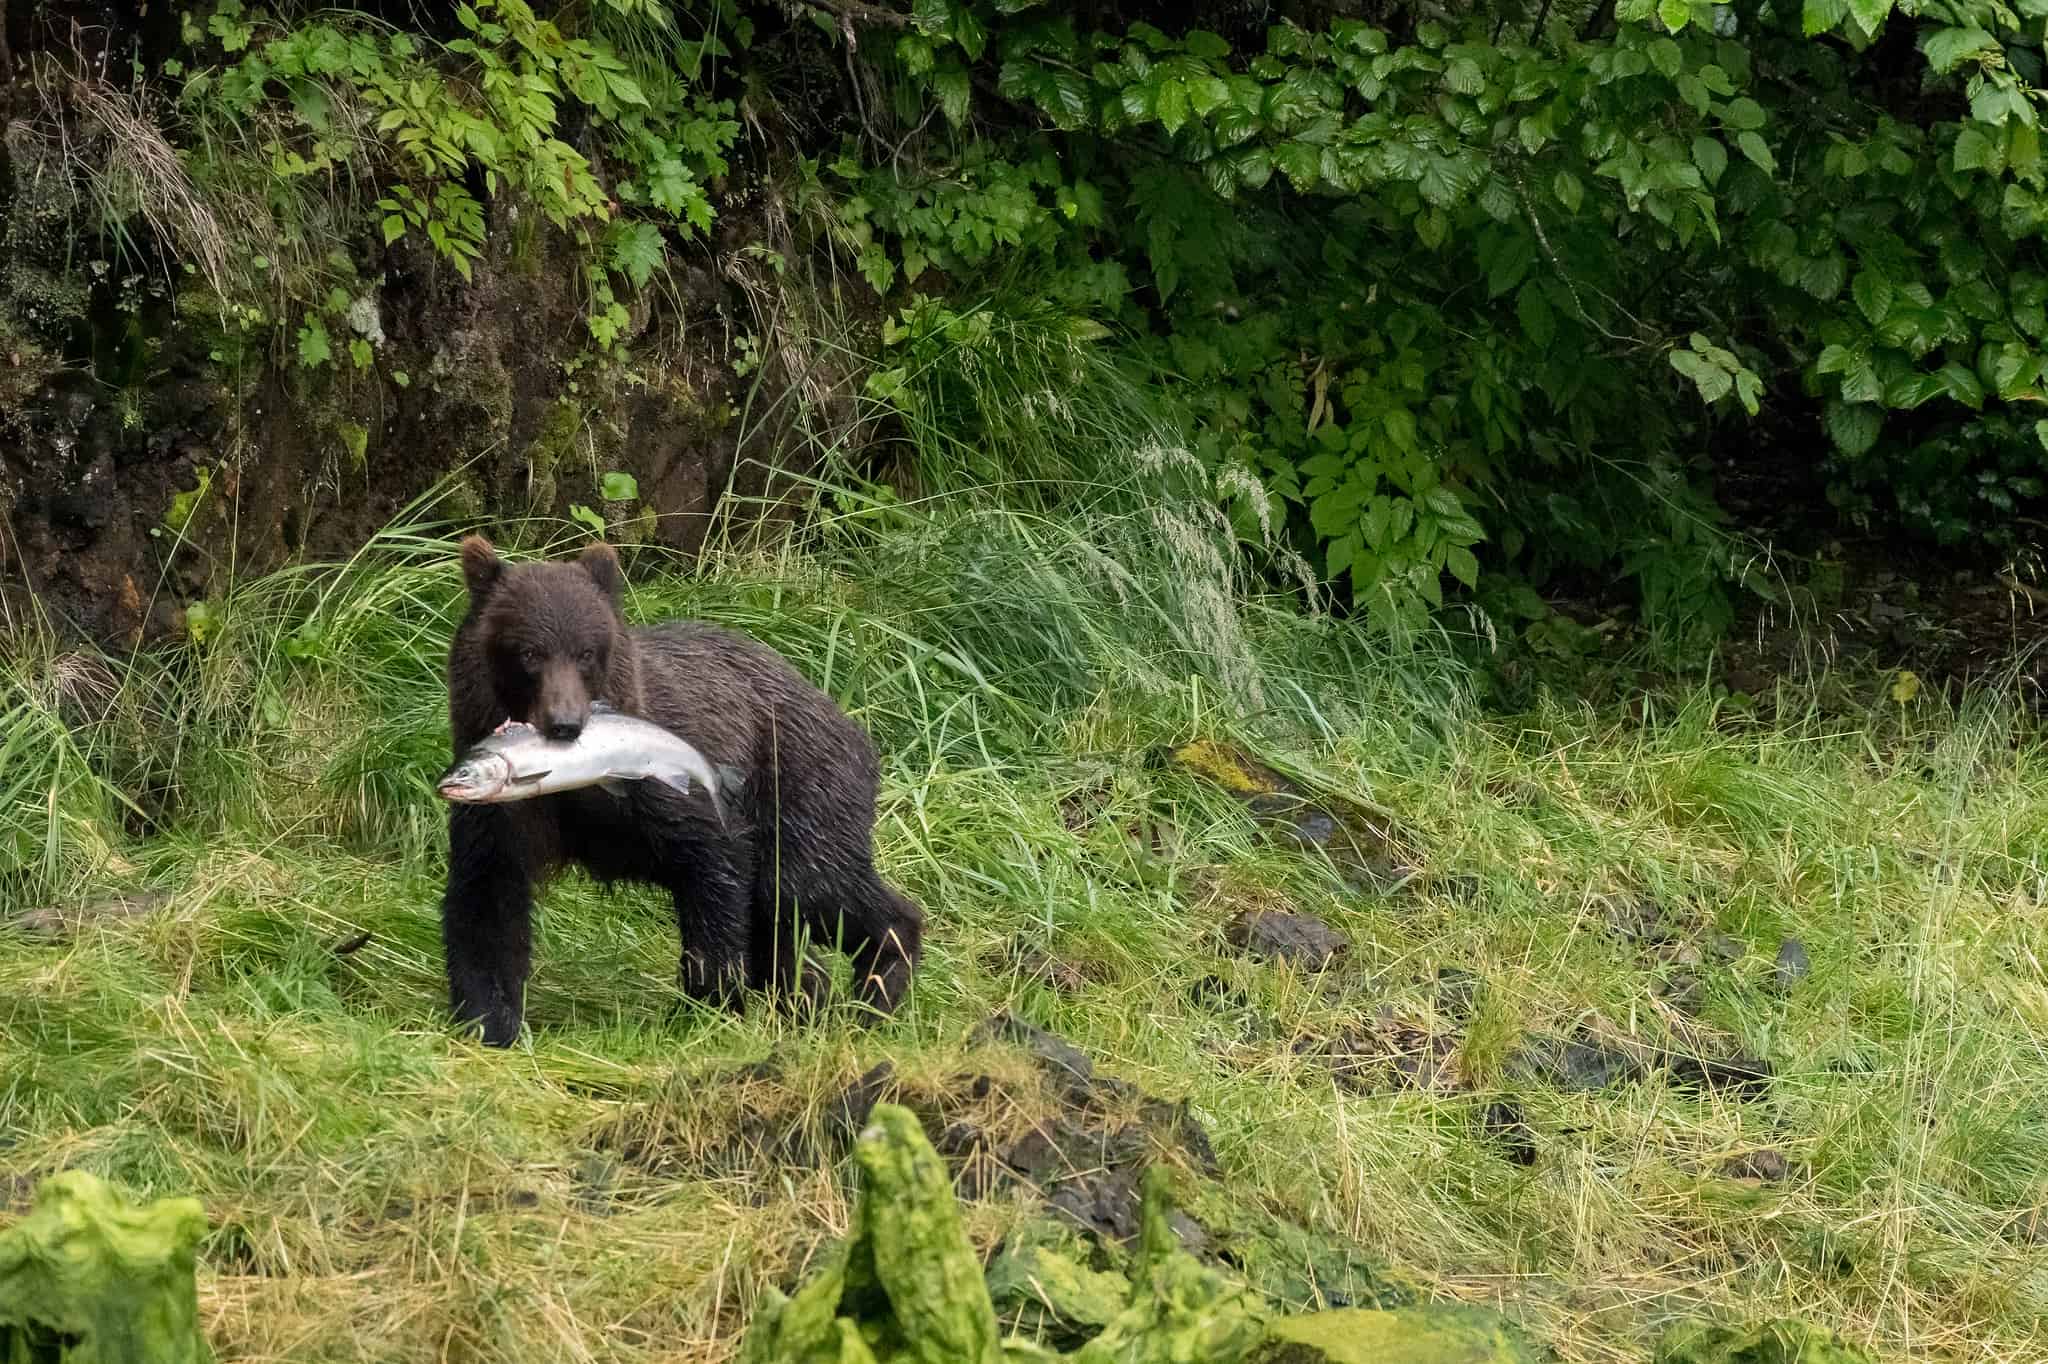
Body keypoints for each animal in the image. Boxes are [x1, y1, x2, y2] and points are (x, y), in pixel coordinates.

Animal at [439, 535, 924, 1046]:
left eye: (587, 652)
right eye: (529, 653)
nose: (565, 723)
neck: (575, 786)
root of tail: (850, 722)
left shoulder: (662, 788)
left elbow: (714, 867)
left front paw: (706, 1003)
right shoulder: (507, 813)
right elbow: (488, 900)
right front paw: (489, 1019)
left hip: (802, 782)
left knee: (807, 884)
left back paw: (879, 984)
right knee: (780, 920)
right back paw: (810, 998)